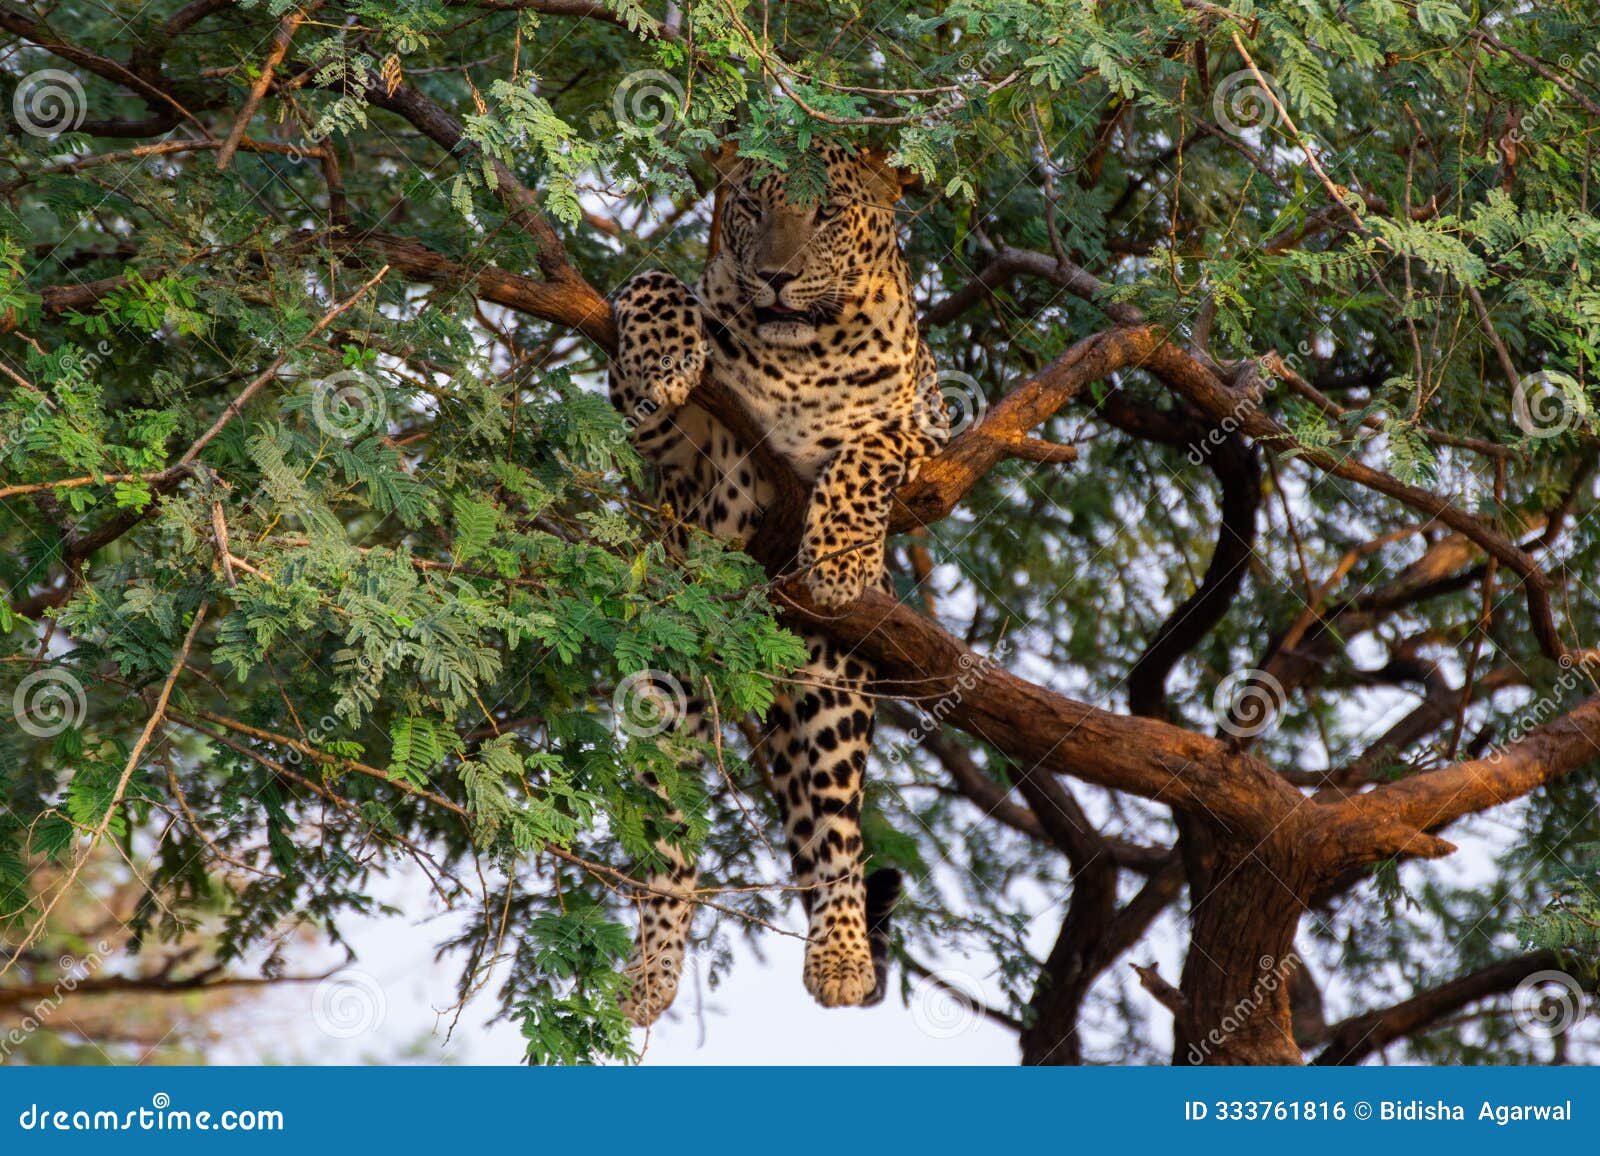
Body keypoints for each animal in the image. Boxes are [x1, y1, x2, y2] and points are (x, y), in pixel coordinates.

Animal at [607, 141, 949, 1026]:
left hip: (833, 684)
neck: (807, 354)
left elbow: (867, 448)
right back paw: (649, 970)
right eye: (752, 207)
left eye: (826, 212)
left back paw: (841, 954)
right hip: (668, 689)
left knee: (837, 834)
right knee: (668, 838)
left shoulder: (932, 434)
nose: (775, 277)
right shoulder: (668, 445)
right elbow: (649, 280)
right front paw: (667, 349)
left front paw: (837, 558)